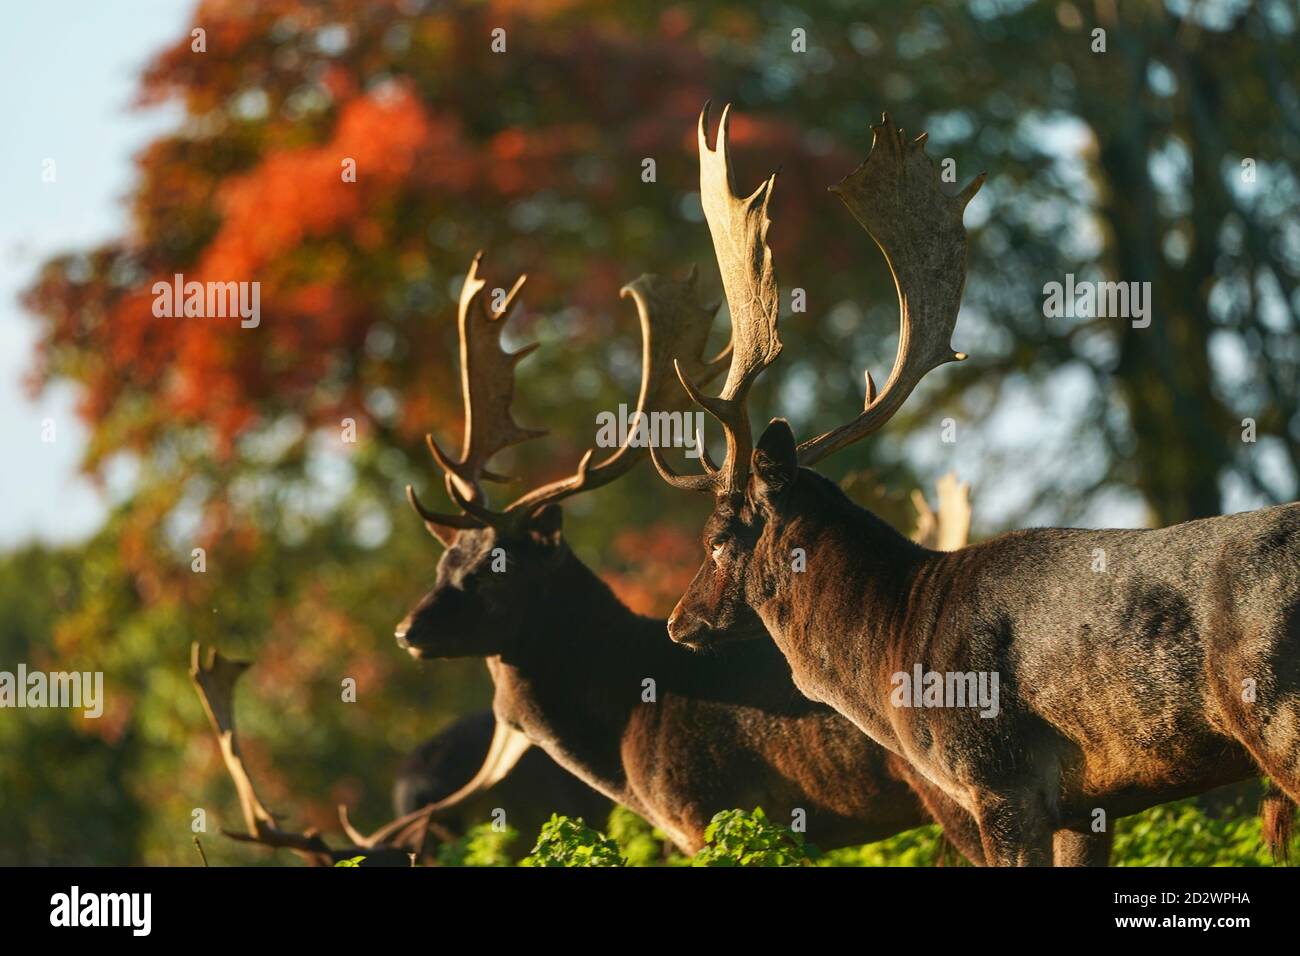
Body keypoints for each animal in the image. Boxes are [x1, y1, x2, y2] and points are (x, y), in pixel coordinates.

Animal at [650, 102, 1300, 866]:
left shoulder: (998, 776)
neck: (894, 646)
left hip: (1279, 715)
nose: (677, 621)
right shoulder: (1087, 807)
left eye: (719, 538)